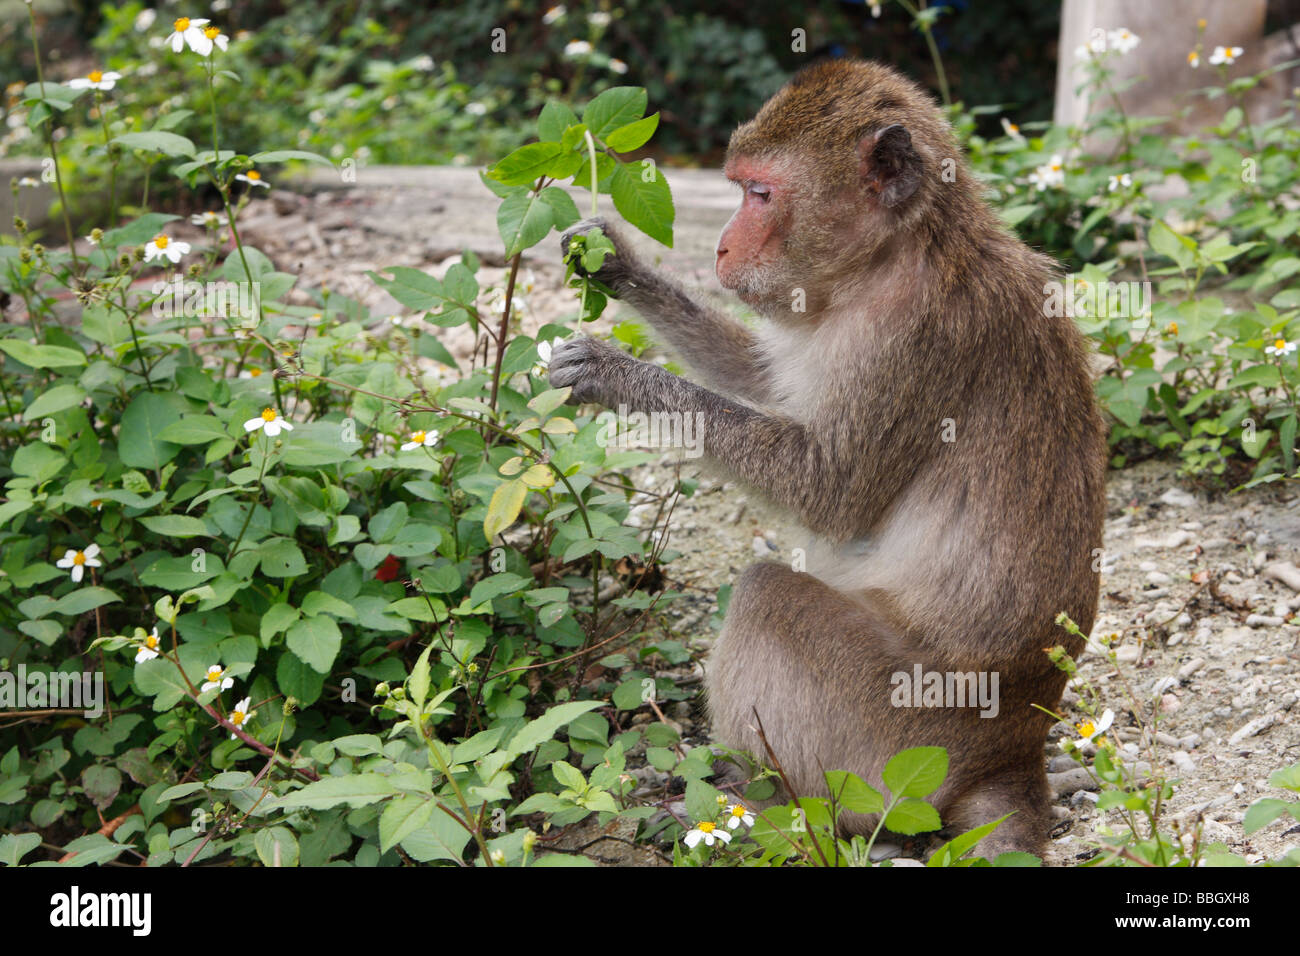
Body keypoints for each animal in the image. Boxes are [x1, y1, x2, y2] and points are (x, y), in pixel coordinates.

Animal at [548, 58, 1107, 858]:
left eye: (758, 193)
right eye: (739, 188)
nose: (721, 248)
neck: (897, 253)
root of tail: (1011, 751)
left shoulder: (909, 337)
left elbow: (827, 491)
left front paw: (613, 373)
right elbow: (758, 377)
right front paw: (619, 264)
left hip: (893, 729)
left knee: (767, 597)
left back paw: (755, 804)